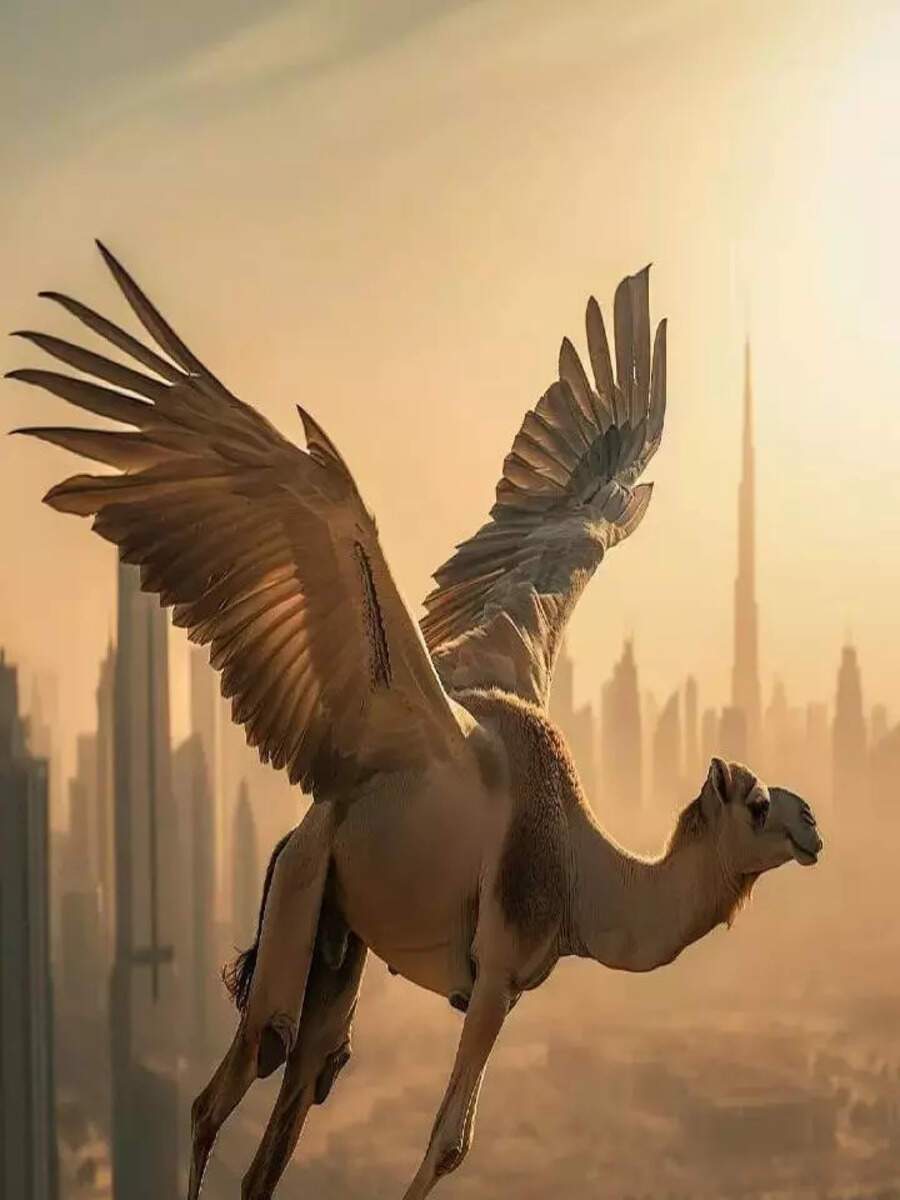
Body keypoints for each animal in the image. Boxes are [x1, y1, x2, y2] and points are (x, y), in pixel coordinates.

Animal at [7, 245, 823, 1199]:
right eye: (761, 805)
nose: (813, 830)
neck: (584, 871)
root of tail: (304, 826)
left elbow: (604, 501)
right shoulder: (502, 968)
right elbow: (449, 1143)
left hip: (340, 938)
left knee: (291, 1093)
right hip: (306, 890)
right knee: (233, 1079)